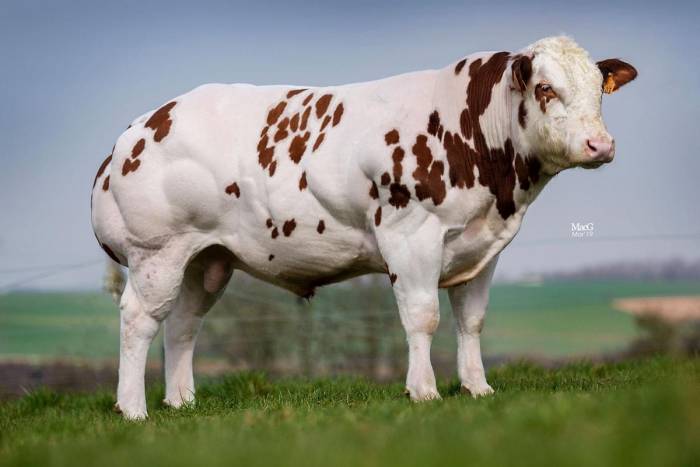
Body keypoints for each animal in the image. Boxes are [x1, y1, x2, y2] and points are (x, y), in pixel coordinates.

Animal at [91, 36, 637, 419]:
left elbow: (471, 322)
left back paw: (181, 402)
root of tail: (137, 129)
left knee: (182, 323)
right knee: (139, 319)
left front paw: (478, 388)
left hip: (207, 258)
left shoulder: (482, 249)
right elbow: (423, 318)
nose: (600, 144)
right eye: (546, 89)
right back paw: (133, 409)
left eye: (598, 90)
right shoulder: (412, 236)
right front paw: (424, 391)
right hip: (156, 252)